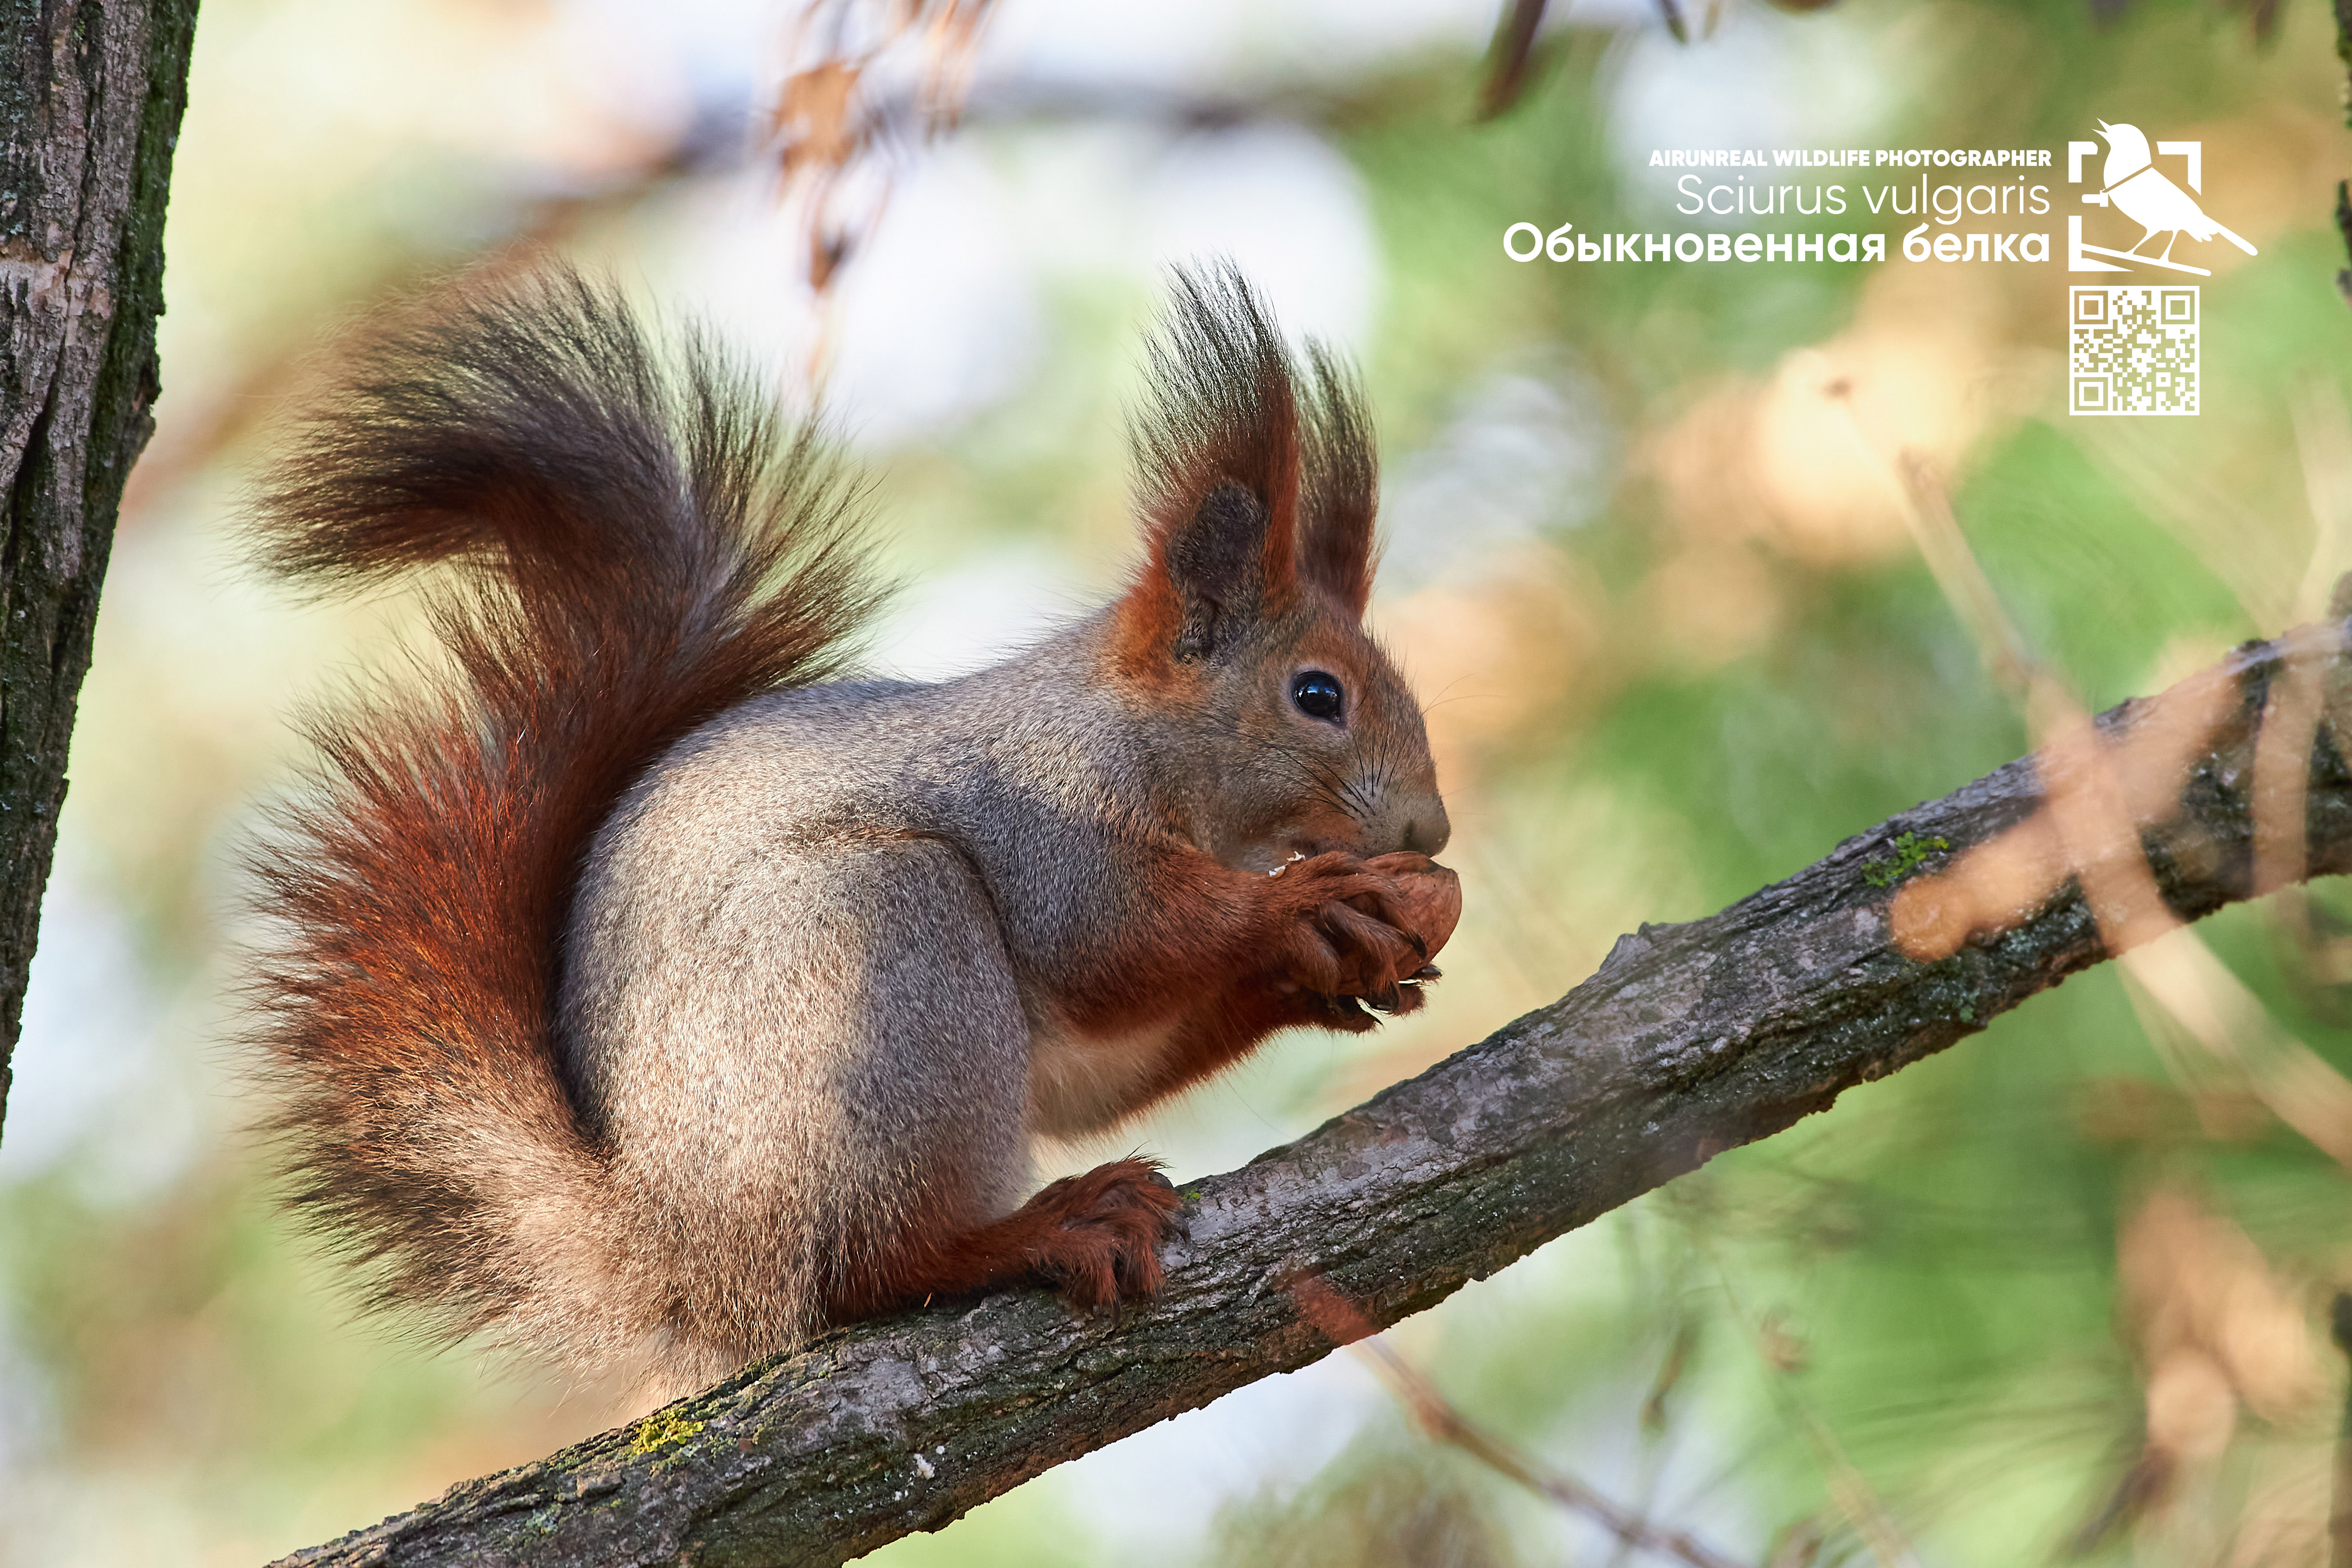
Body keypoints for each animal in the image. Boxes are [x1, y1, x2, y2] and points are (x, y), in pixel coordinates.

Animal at [243, 267, 1449, 1401]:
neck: (1141, 738)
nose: (1428, 829)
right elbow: (1108, 945)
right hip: (884, 940)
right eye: (1316, 695)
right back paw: (1029, 1231)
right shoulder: (1050, 817)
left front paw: (1326, 968)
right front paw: (1301, 907)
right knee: (868, 1267)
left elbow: (1096, 1071)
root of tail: (686, 1265)